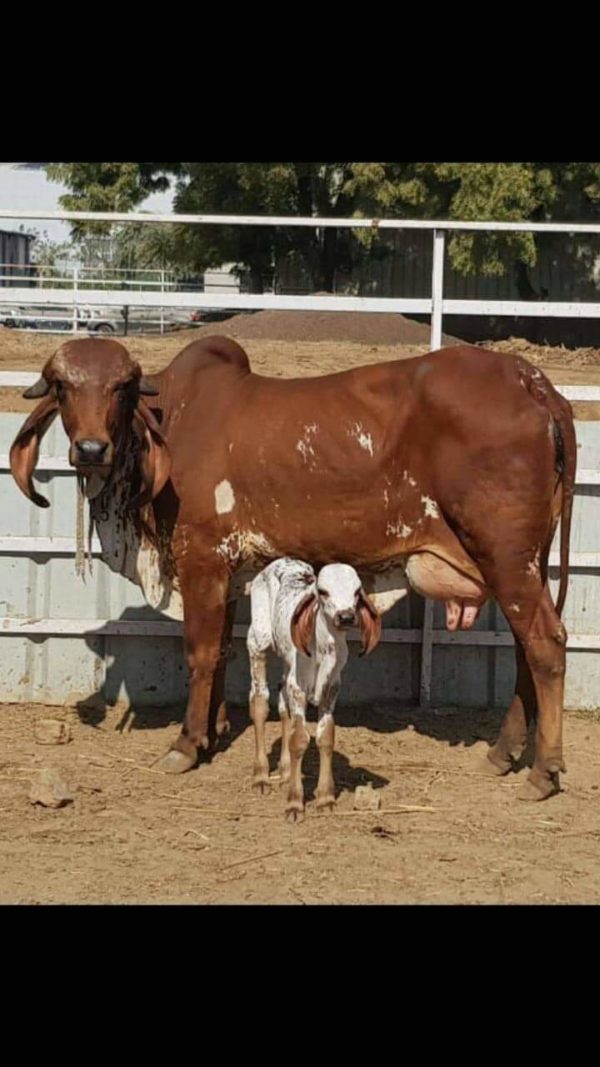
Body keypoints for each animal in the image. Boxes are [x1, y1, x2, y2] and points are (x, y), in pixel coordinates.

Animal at [9, 335, 576, 802]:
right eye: (62, 386)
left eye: (122, 388)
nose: (90, 449)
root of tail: (528, 378)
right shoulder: (229, 573)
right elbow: (222, 652)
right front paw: (216, 730)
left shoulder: (201, 559)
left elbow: (199, 653)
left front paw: (187, 744)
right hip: (523, 561)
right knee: (526, 648)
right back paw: (502, 754)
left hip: (507, 555)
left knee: (546, 644)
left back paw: (542, 771)